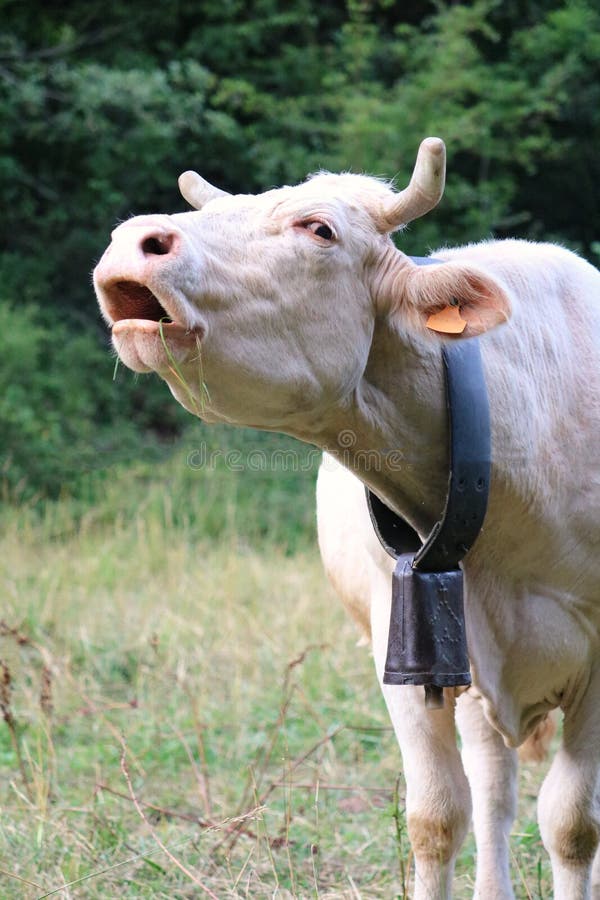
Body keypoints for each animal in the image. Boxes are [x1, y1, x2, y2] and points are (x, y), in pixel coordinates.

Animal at [93, 138, 600, 899]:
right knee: (494, 788)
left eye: (319, 229)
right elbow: (437, 816)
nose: (133, 239)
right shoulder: (406, 643)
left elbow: (572, 824)